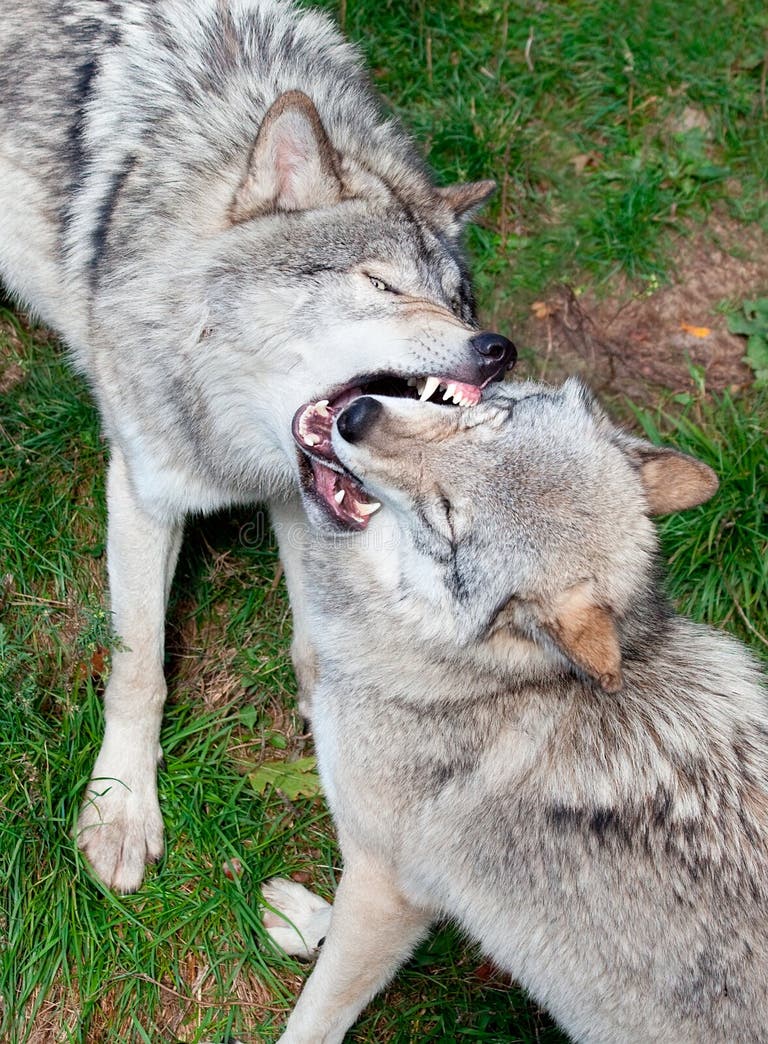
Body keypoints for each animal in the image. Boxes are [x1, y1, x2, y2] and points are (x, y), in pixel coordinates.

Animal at [0, 0, 515, 892]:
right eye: (382, 284)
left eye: (458, 300)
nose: (495, 349)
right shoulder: (144, 488)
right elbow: (139, 668)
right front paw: (120, 808)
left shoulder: (302, 504)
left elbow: (317, 648)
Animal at [263, 380, 768, 1043]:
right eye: (486, 422)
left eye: (447, 517)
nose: (357, 415)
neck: (490, 681)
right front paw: (304, 921)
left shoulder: (386, 880)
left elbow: (318, 1007)